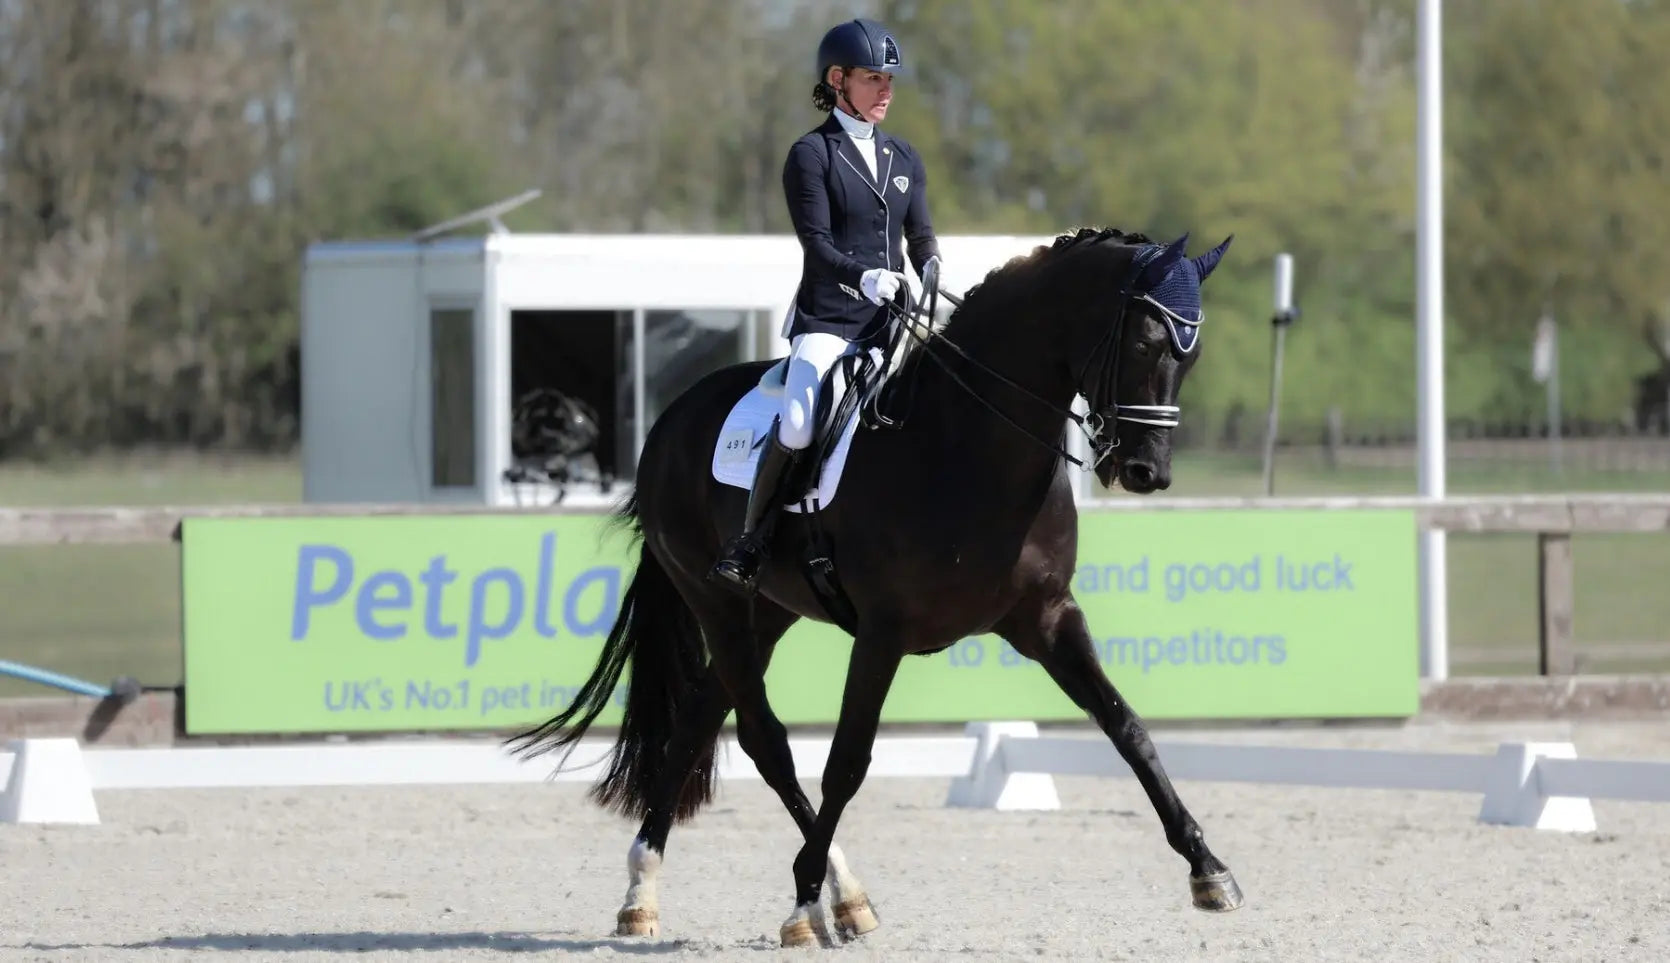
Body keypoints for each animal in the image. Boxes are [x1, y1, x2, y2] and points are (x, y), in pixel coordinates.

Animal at [508, 226, 1242, 947]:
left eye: (1193, 354)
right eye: (1144, 343)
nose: (1147, 471)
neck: (970, 444)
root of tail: (671, 418)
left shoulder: (1048, 619)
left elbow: (1127, 728)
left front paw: (1209, 869)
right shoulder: (884, 632)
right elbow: (847, 760)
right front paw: (801, 901)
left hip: (765, 613)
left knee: (697, 719)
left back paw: (662, 892)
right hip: (716, 600)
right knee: (764, 739)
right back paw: (815, 896)